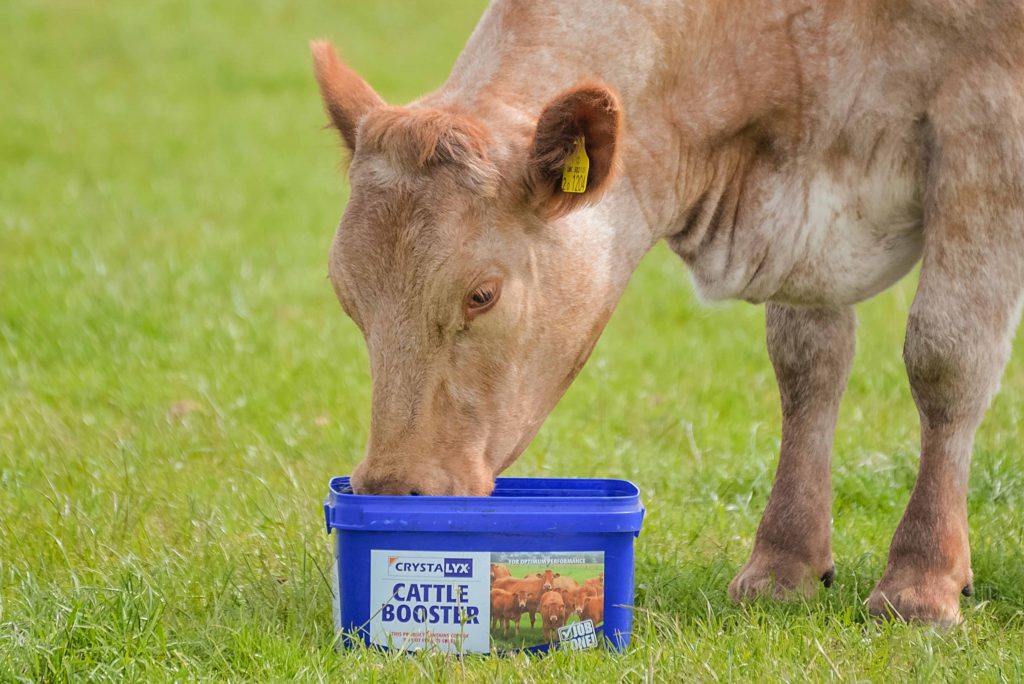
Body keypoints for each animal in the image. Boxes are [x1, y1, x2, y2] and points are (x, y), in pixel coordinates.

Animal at [311, 0, 1024, 627]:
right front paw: (784, 565)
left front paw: (922, 579)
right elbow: (808, 365)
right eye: (347, 297)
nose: (390, 488)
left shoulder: (987, 121)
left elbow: (945, 358)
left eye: (482, 294)